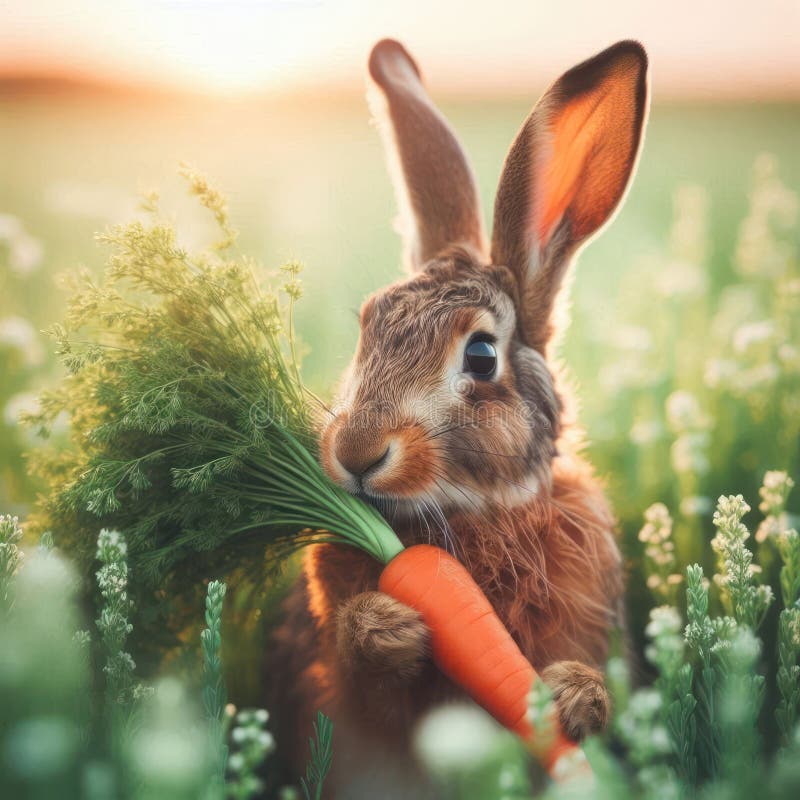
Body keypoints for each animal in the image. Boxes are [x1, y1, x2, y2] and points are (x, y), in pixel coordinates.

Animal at [268, 37, 649, 798]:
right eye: (366, 329)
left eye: (480, 355)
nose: (357, 452)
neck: (475, 515)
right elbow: (363, 677)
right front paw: (386, 628)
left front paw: (572, 697)